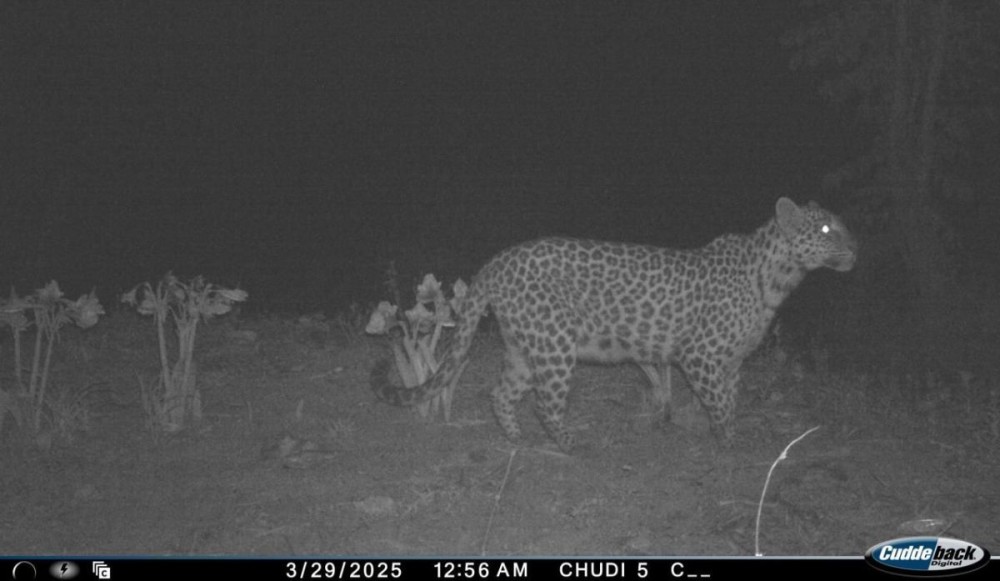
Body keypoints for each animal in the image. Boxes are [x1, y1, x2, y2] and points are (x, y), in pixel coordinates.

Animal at [372, 197, 857, 451]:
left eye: (841, 226)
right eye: (827, 230)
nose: (857, 248)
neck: (778, 280)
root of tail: (496, 262)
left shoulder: (732, 362)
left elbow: (730, 401)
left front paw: (727, 437)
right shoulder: (699, 357)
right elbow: (718, 403)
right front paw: (728, 445)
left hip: (524, 346)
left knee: (502, 393)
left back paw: (517, 439)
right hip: (555, 344)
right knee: (545, 403)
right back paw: (572, 446)